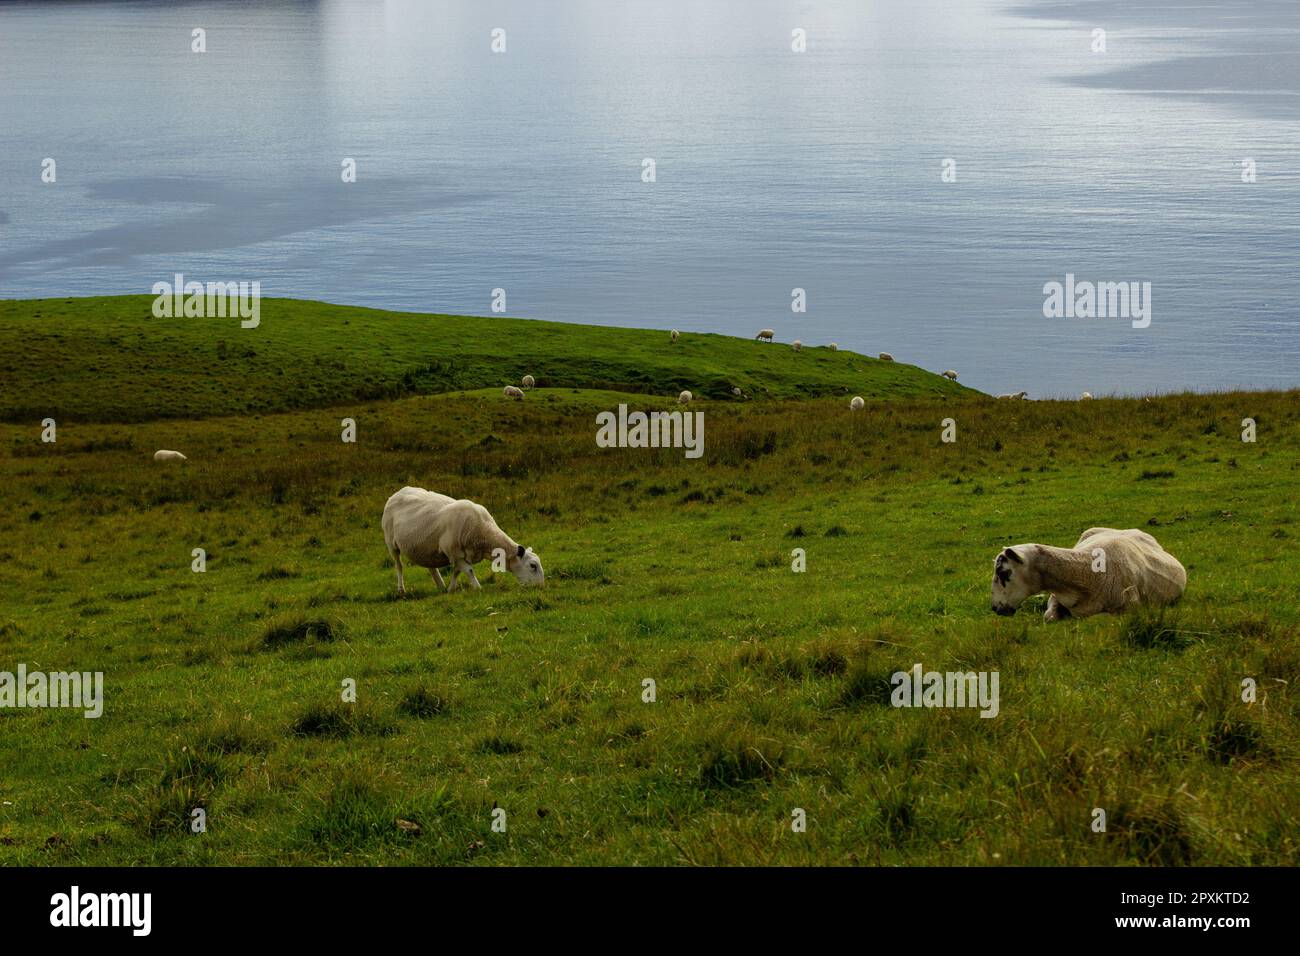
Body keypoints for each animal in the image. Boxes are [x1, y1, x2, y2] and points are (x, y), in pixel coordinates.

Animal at [382, 486, 543, 595]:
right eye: (533, 566)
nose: (540, 586)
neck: (484, 532)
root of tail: (397, 493)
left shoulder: (458, 555)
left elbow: (456, 571)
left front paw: (450, 589)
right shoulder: (453, 551)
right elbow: (469, 570)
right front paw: (478, 588)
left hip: (425, 547)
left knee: (431, 566)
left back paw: (440, 586)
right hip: (391, 544)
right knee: (399, 566)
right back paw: (401, 590)